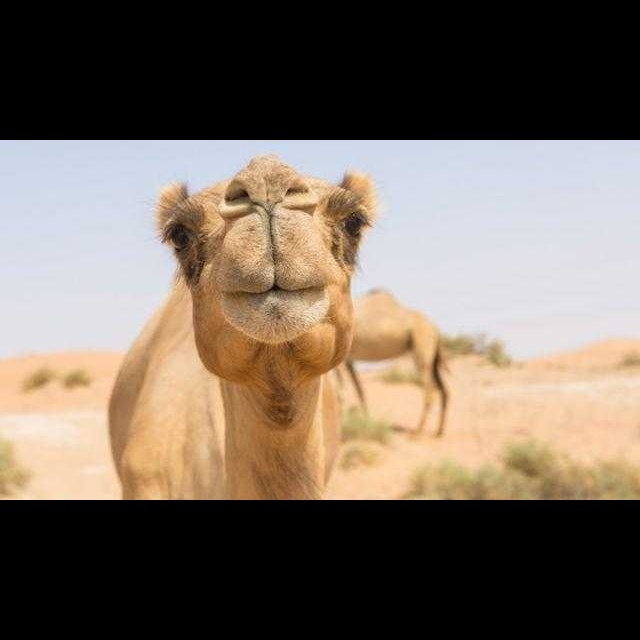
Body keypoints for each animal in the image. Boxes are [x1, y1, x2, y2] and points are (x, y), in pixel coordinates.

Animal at [343, 290, 449, 437]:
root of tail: (436, 329)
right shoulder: (348, 359)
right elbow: (358, 389)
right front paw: (365, 419)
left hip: (422, 343)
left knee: (429, 390)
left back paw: (417, 432)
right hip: (434, 358)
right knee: (444, 390)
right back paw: (439, 432)